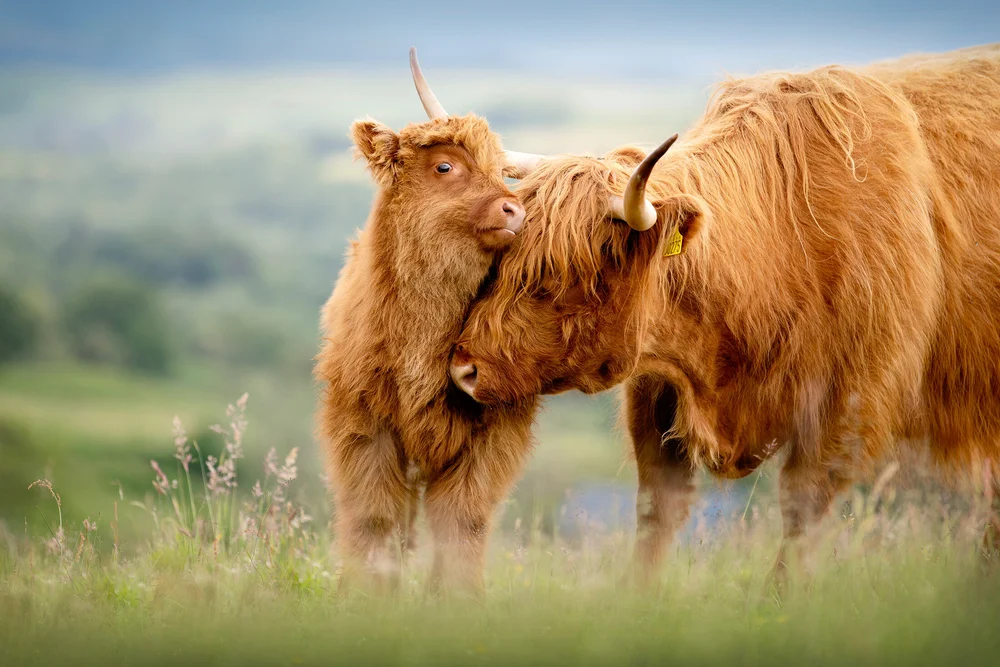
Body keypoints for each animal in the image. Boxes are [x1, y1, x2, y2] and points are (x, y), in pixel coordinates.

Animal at [314, 50, 539, 597]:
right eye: (445, 165)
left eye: (502, 172)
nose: (514, 209)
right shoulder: (364, 427)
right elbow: (373, 516)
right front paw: (368, 592)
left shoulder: (489, 437)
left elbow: (463, 521)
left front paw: (457, 598)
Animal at [448, 44, 1000, 585]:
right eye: (499, 264)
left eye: (565, 275)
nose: (462, 369)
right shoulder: (657, 392)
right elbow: (658, 510)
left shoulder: (848, 403)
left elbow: (802, 510)